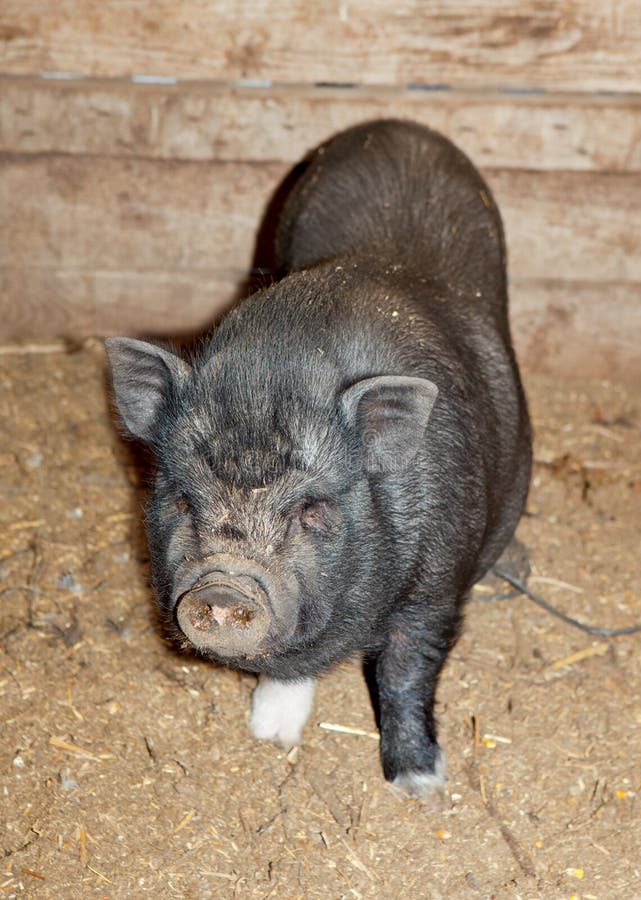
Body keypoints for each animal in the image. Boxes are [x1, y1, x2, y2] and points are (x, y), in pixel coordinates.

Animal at [105, 120, 531, 797]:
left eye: (311, 510)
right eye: (183, 500)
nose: (223, 586)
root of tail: (401, 127)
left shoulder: (438, 580)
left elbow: (406, 667)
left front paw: (421, 787)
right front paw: (268, 735)